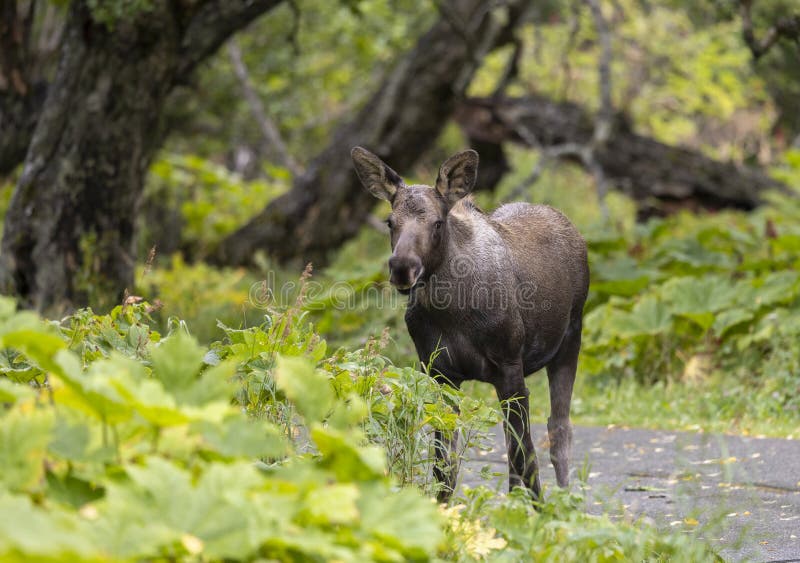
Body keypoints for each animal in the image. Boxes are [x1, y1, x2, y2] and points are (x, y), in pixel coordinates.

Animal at [351, 146, 589, 503]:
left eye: (437, 222)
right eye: (390, 222)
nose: (402, 267)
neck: (453, 312)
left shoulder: (510, 367)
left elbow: (525, 454)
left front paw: (539, 510)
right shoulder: (440, 373)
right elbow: (444, 466)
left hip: (570, 339)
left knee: (558, 428)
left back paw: (565, 501)